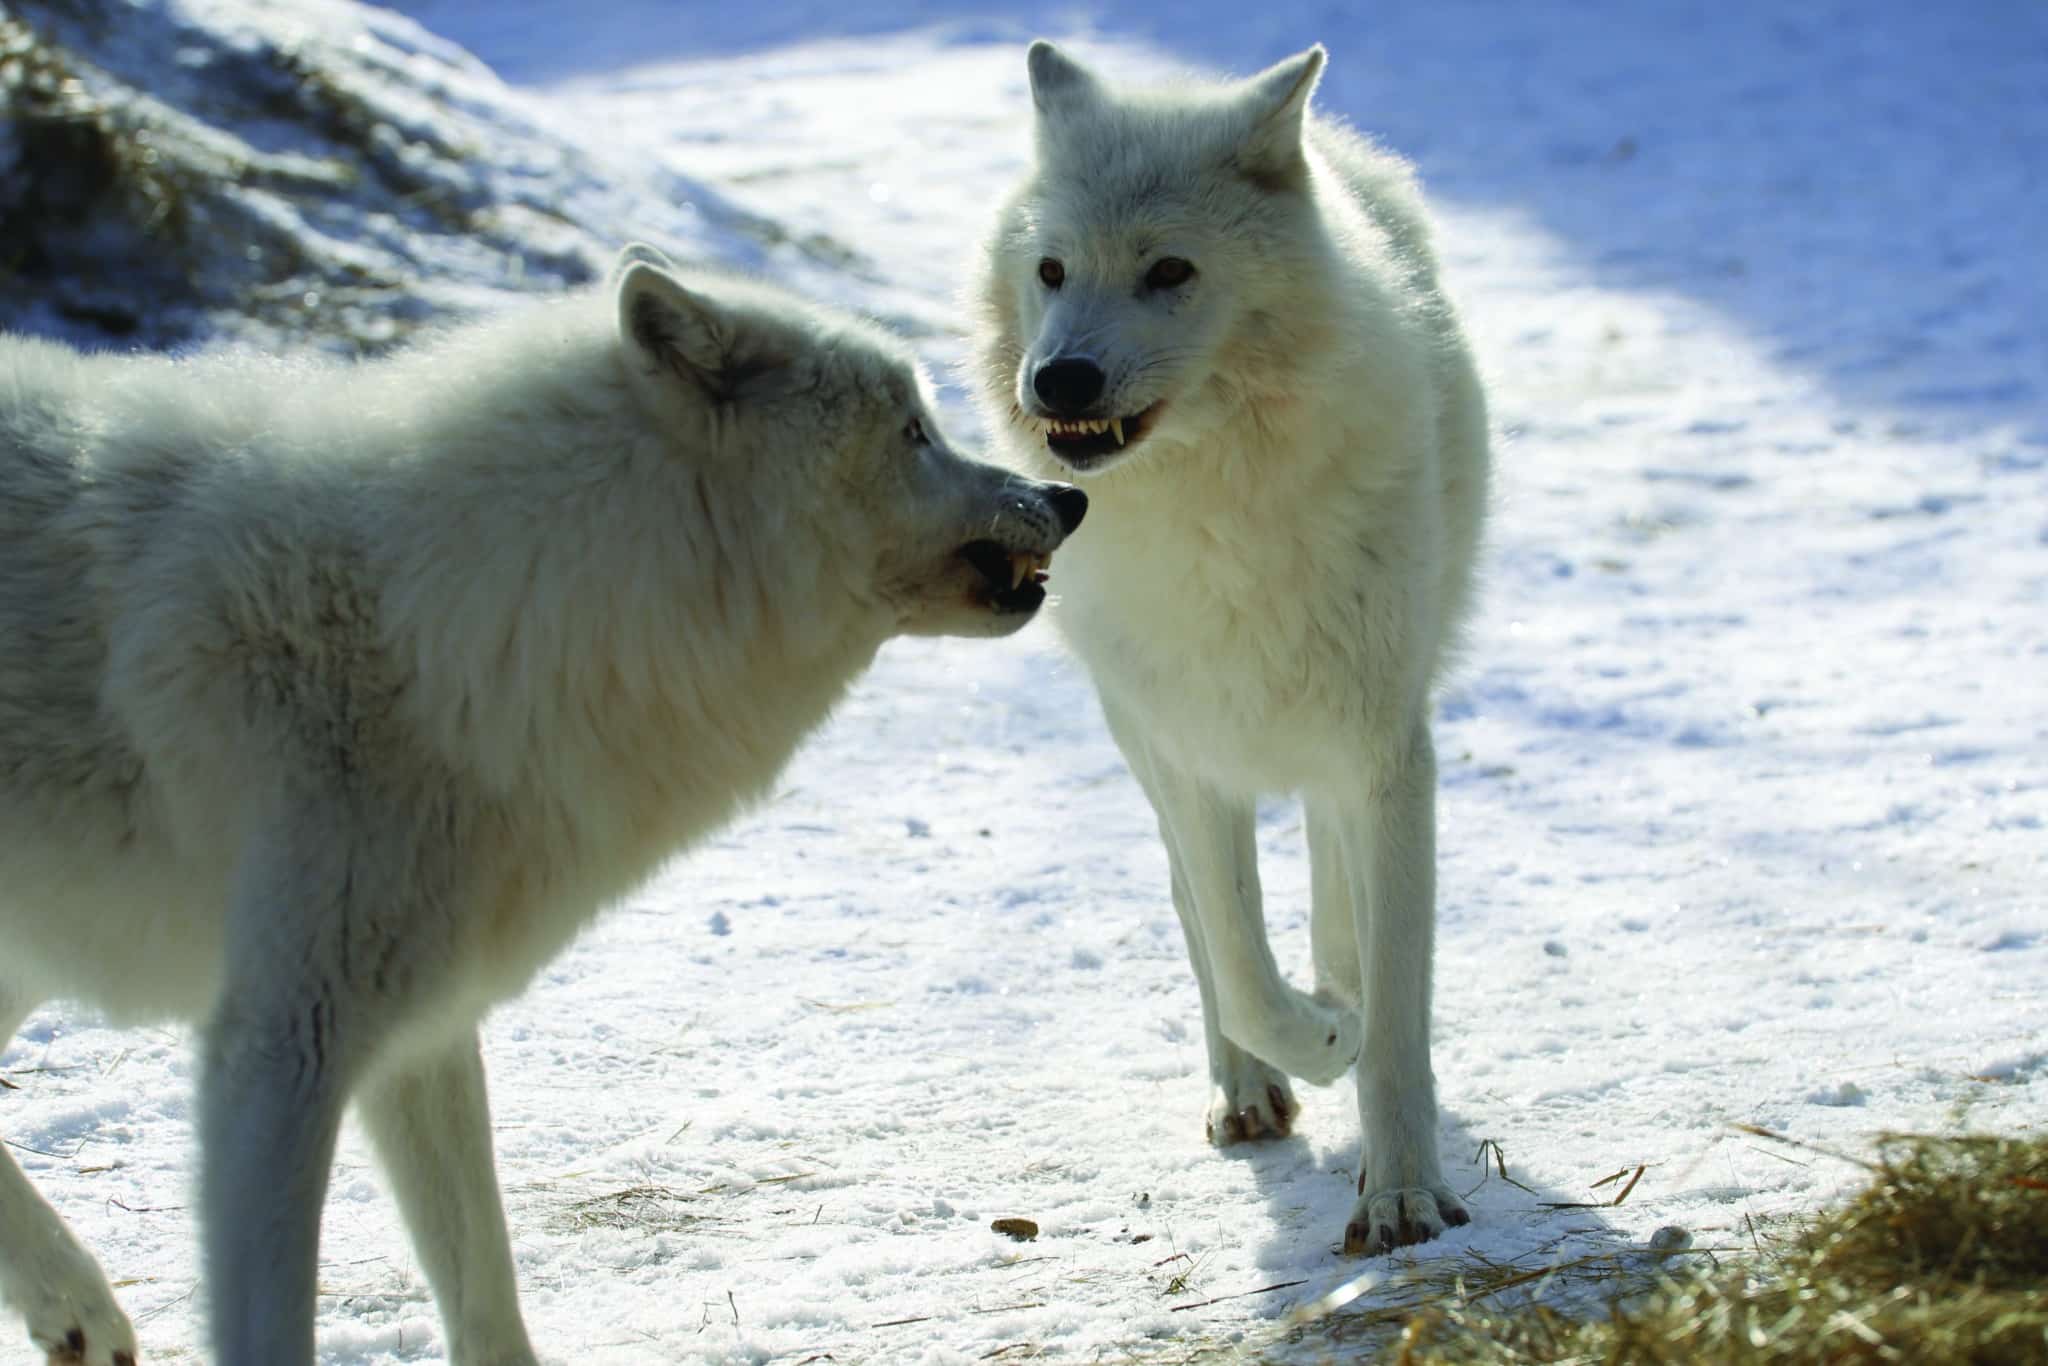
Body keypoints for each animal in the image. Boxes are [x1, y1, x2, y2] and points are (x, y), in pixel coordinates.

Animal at [0, 243, 1086, 1365]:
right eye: (914, 431)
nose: (1063, 500)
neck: (458, 627)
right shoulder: (278, 1051)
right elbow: (274, 1319)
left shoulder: (420, 1033)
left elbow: (483, 1279)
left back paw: (76, 1306)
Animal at [973, 43, 1491, 1256]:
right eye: (1052, 271)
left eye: (1171, 270)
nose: (1057, 381)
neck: (1218, 507)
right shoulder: (1193, 750)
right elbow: (1242, 965)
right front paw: (1318, 1042)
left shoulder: (1385, 746)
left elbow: (1398, 996)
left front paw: (1403, 1190)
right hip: (1143, 741)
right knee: (1202, 921)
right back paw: (1248, 1087)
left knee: (1331, 884)